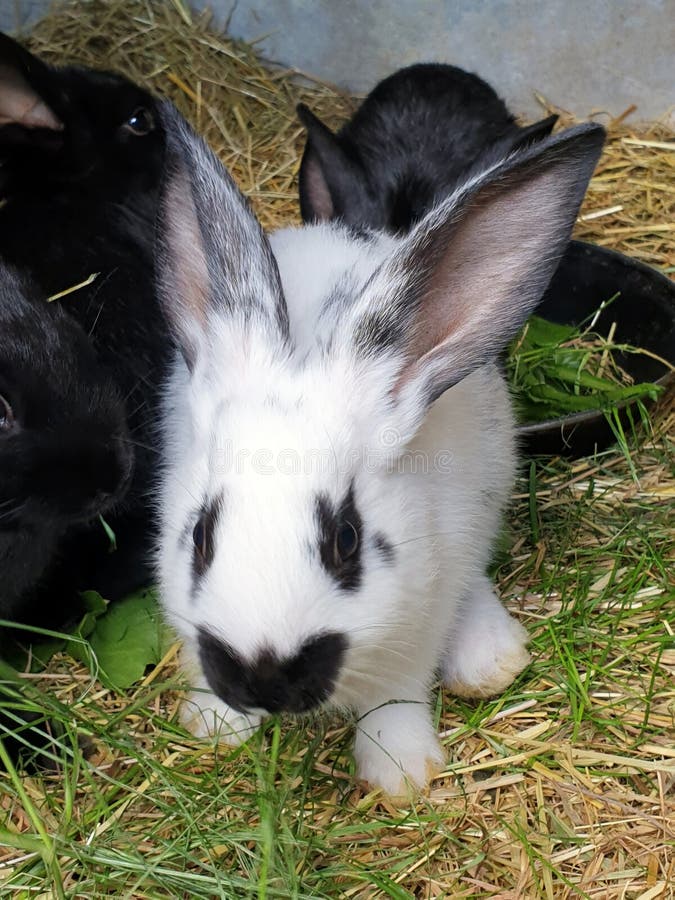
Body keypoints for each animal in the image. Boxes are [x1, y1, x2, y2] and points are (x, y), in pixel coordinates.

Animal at [155, 98, 603, 796]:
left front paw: (401, 774)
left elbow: (395, 693)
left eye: (347, 540)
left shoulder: (419, 614)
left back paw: (490, 658)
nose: (263, 681)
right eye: (200, 535)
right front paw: (216, 724)